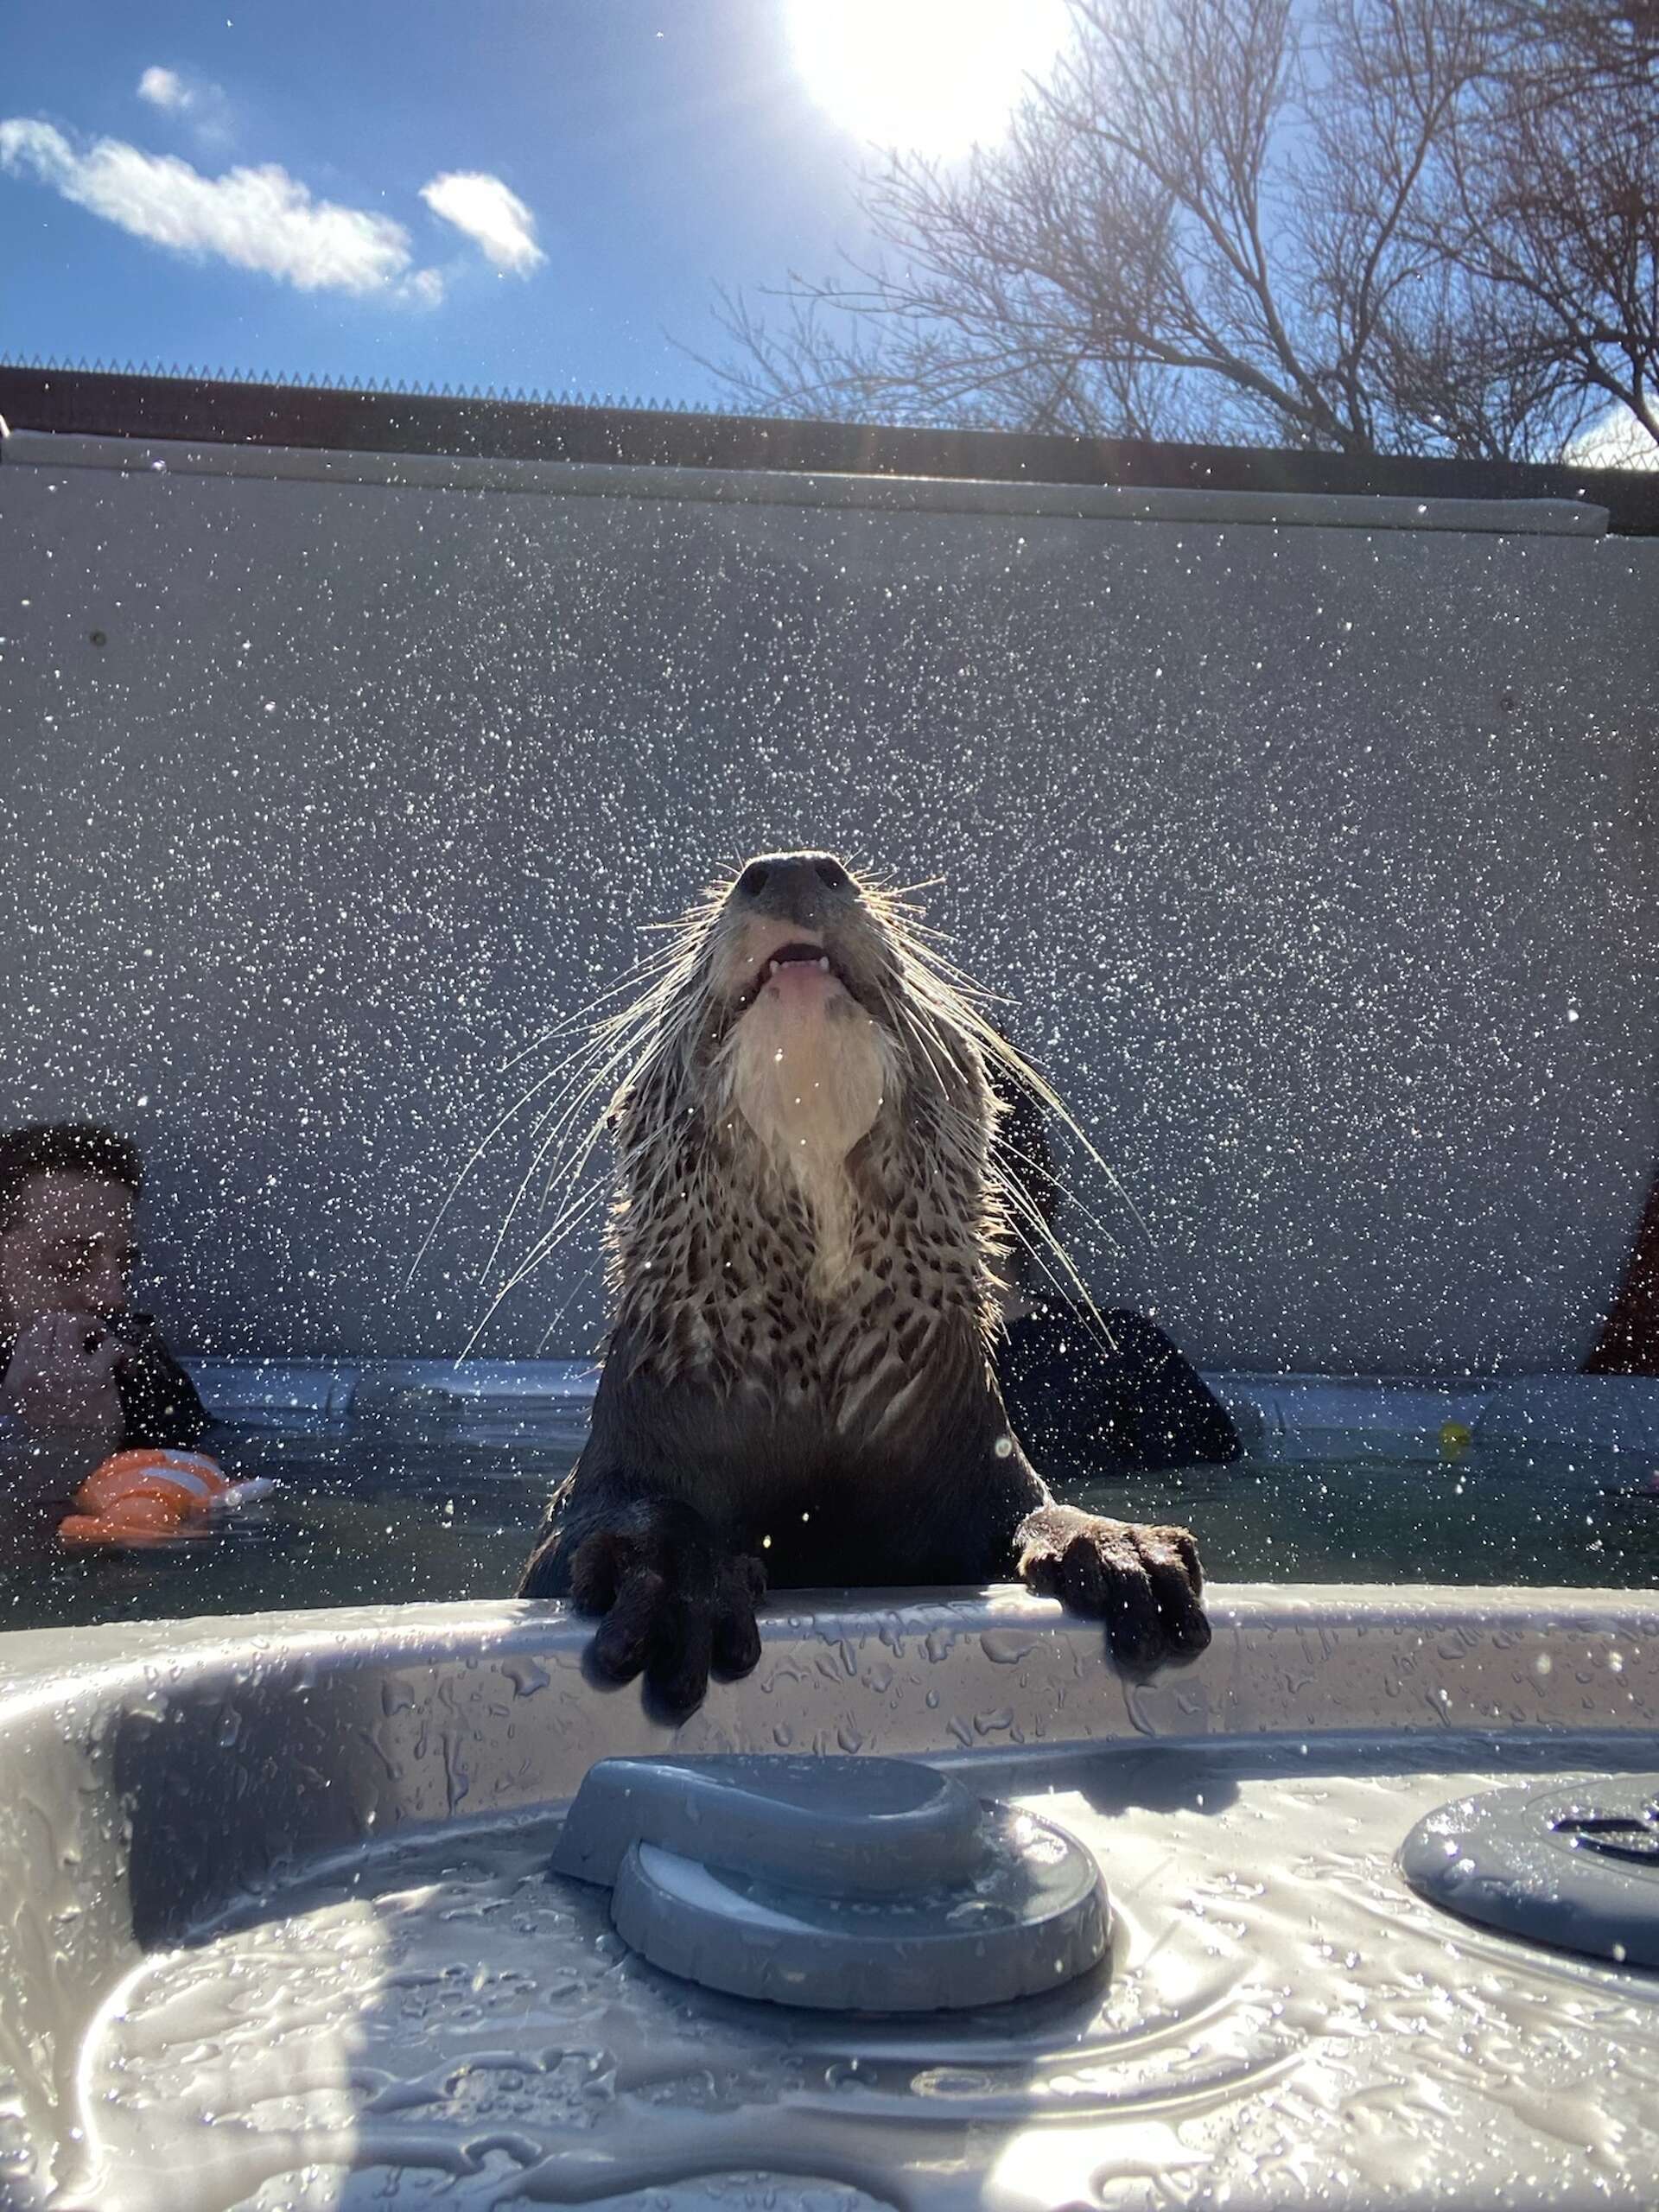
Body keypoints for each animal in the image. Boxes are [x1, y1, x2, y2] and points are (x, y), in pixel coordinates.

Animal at [517, 851, 1210, 1712]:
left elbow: (1035, 1509)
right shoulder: (609, 1471)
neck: (812, 1398)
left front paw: (1121, 1549)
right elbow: (617, 1527)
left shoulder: (978, 1463)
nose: (787, 866)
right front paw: (679, 1584)